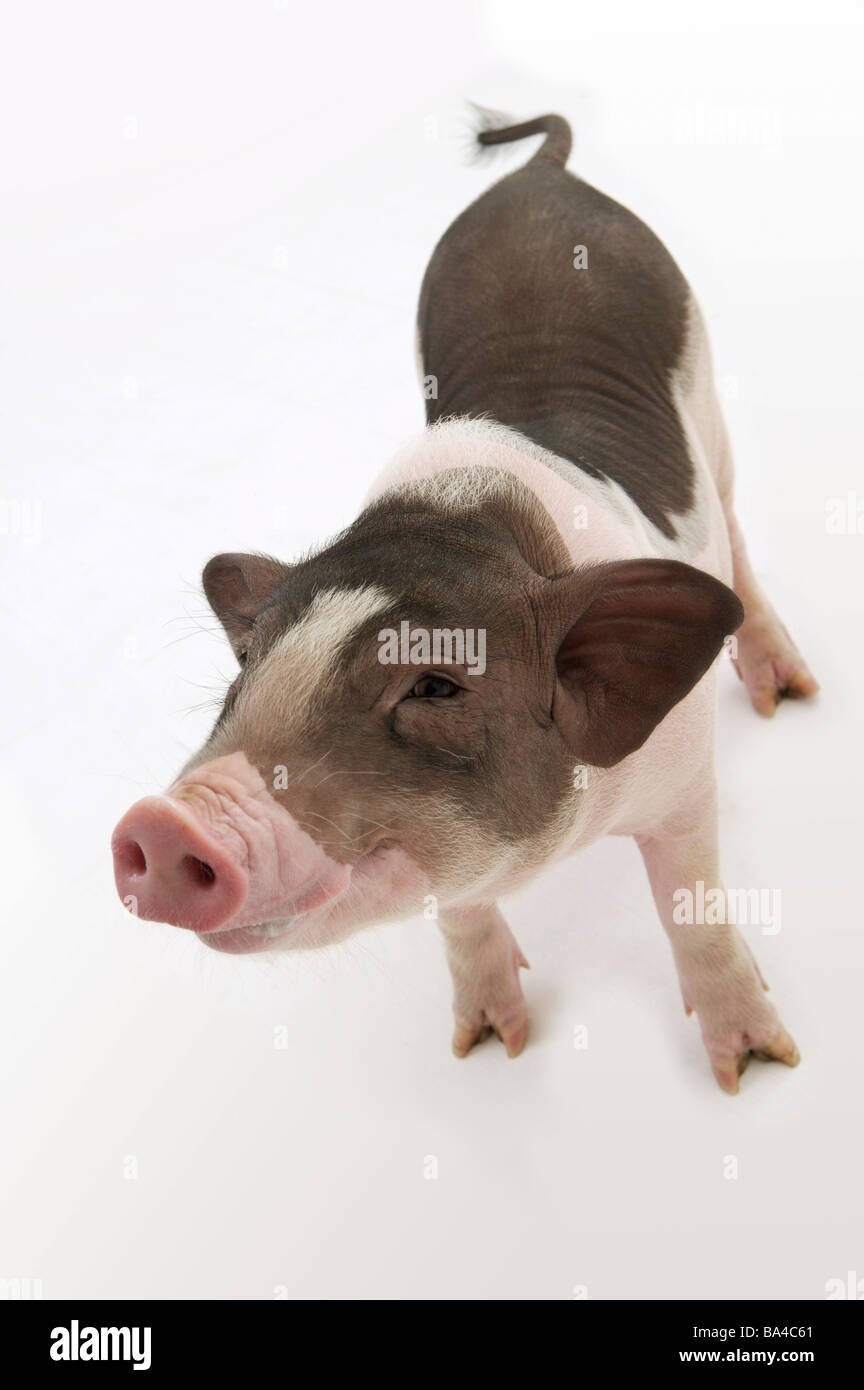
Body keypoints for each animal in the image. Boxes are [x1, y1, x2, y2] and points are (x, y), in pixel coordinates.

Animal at [112, 112, 818, 1093]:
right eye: (245, 669)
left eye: (436, 686)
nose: (164, 818)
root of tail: (542, 173)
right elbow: (458, 916)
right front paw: (488, 1048)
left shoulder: (684, 778)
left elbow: (693, 905)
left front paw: (758, 1069)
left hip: (705, 386)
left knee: (736, 522)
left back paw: (790, 692)